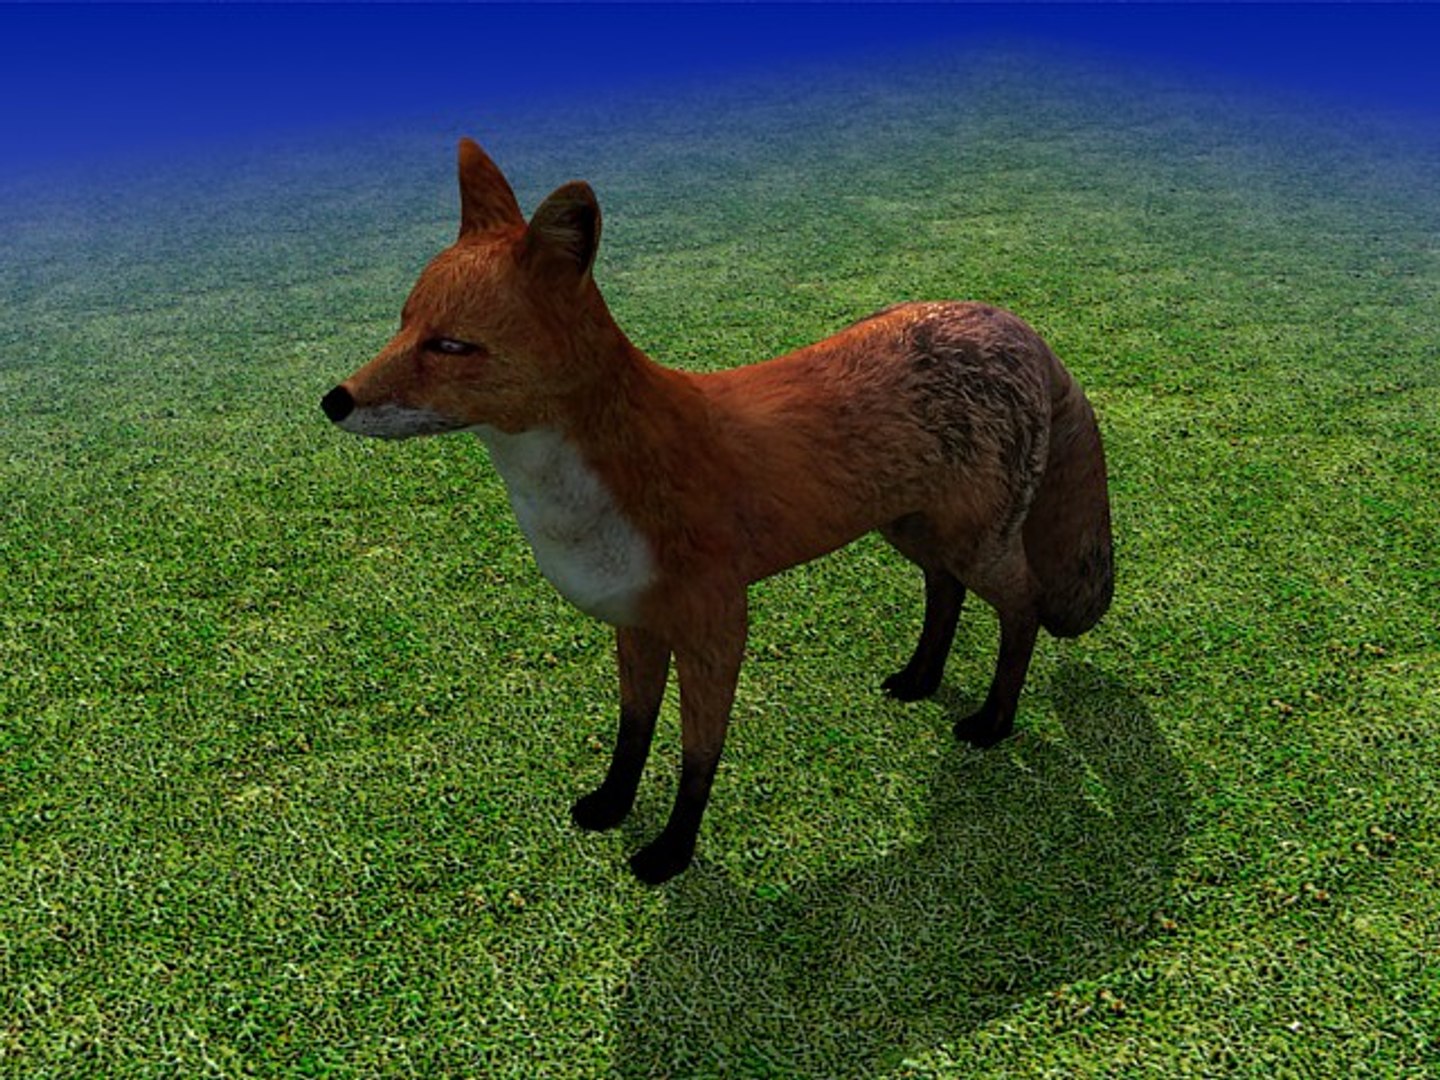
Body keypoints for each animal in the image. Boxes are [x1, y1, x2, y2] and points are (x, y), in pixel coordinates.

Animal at [321, 138, 1113, 884]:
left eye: (452, 345)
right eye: (403, 323)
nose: (334, 401)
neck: (588, 501)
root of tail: (1006, 320)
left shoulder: (718, 625)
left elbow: (699, 754)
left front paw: (671, 853)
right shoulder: (637, 622)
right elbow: (633, 730)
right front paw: (613, 807)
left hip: (975, 541)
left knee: (1023, 607)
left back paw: (995, 720)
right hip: (913, 529)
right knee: (943, 591)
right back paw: (920, 679)